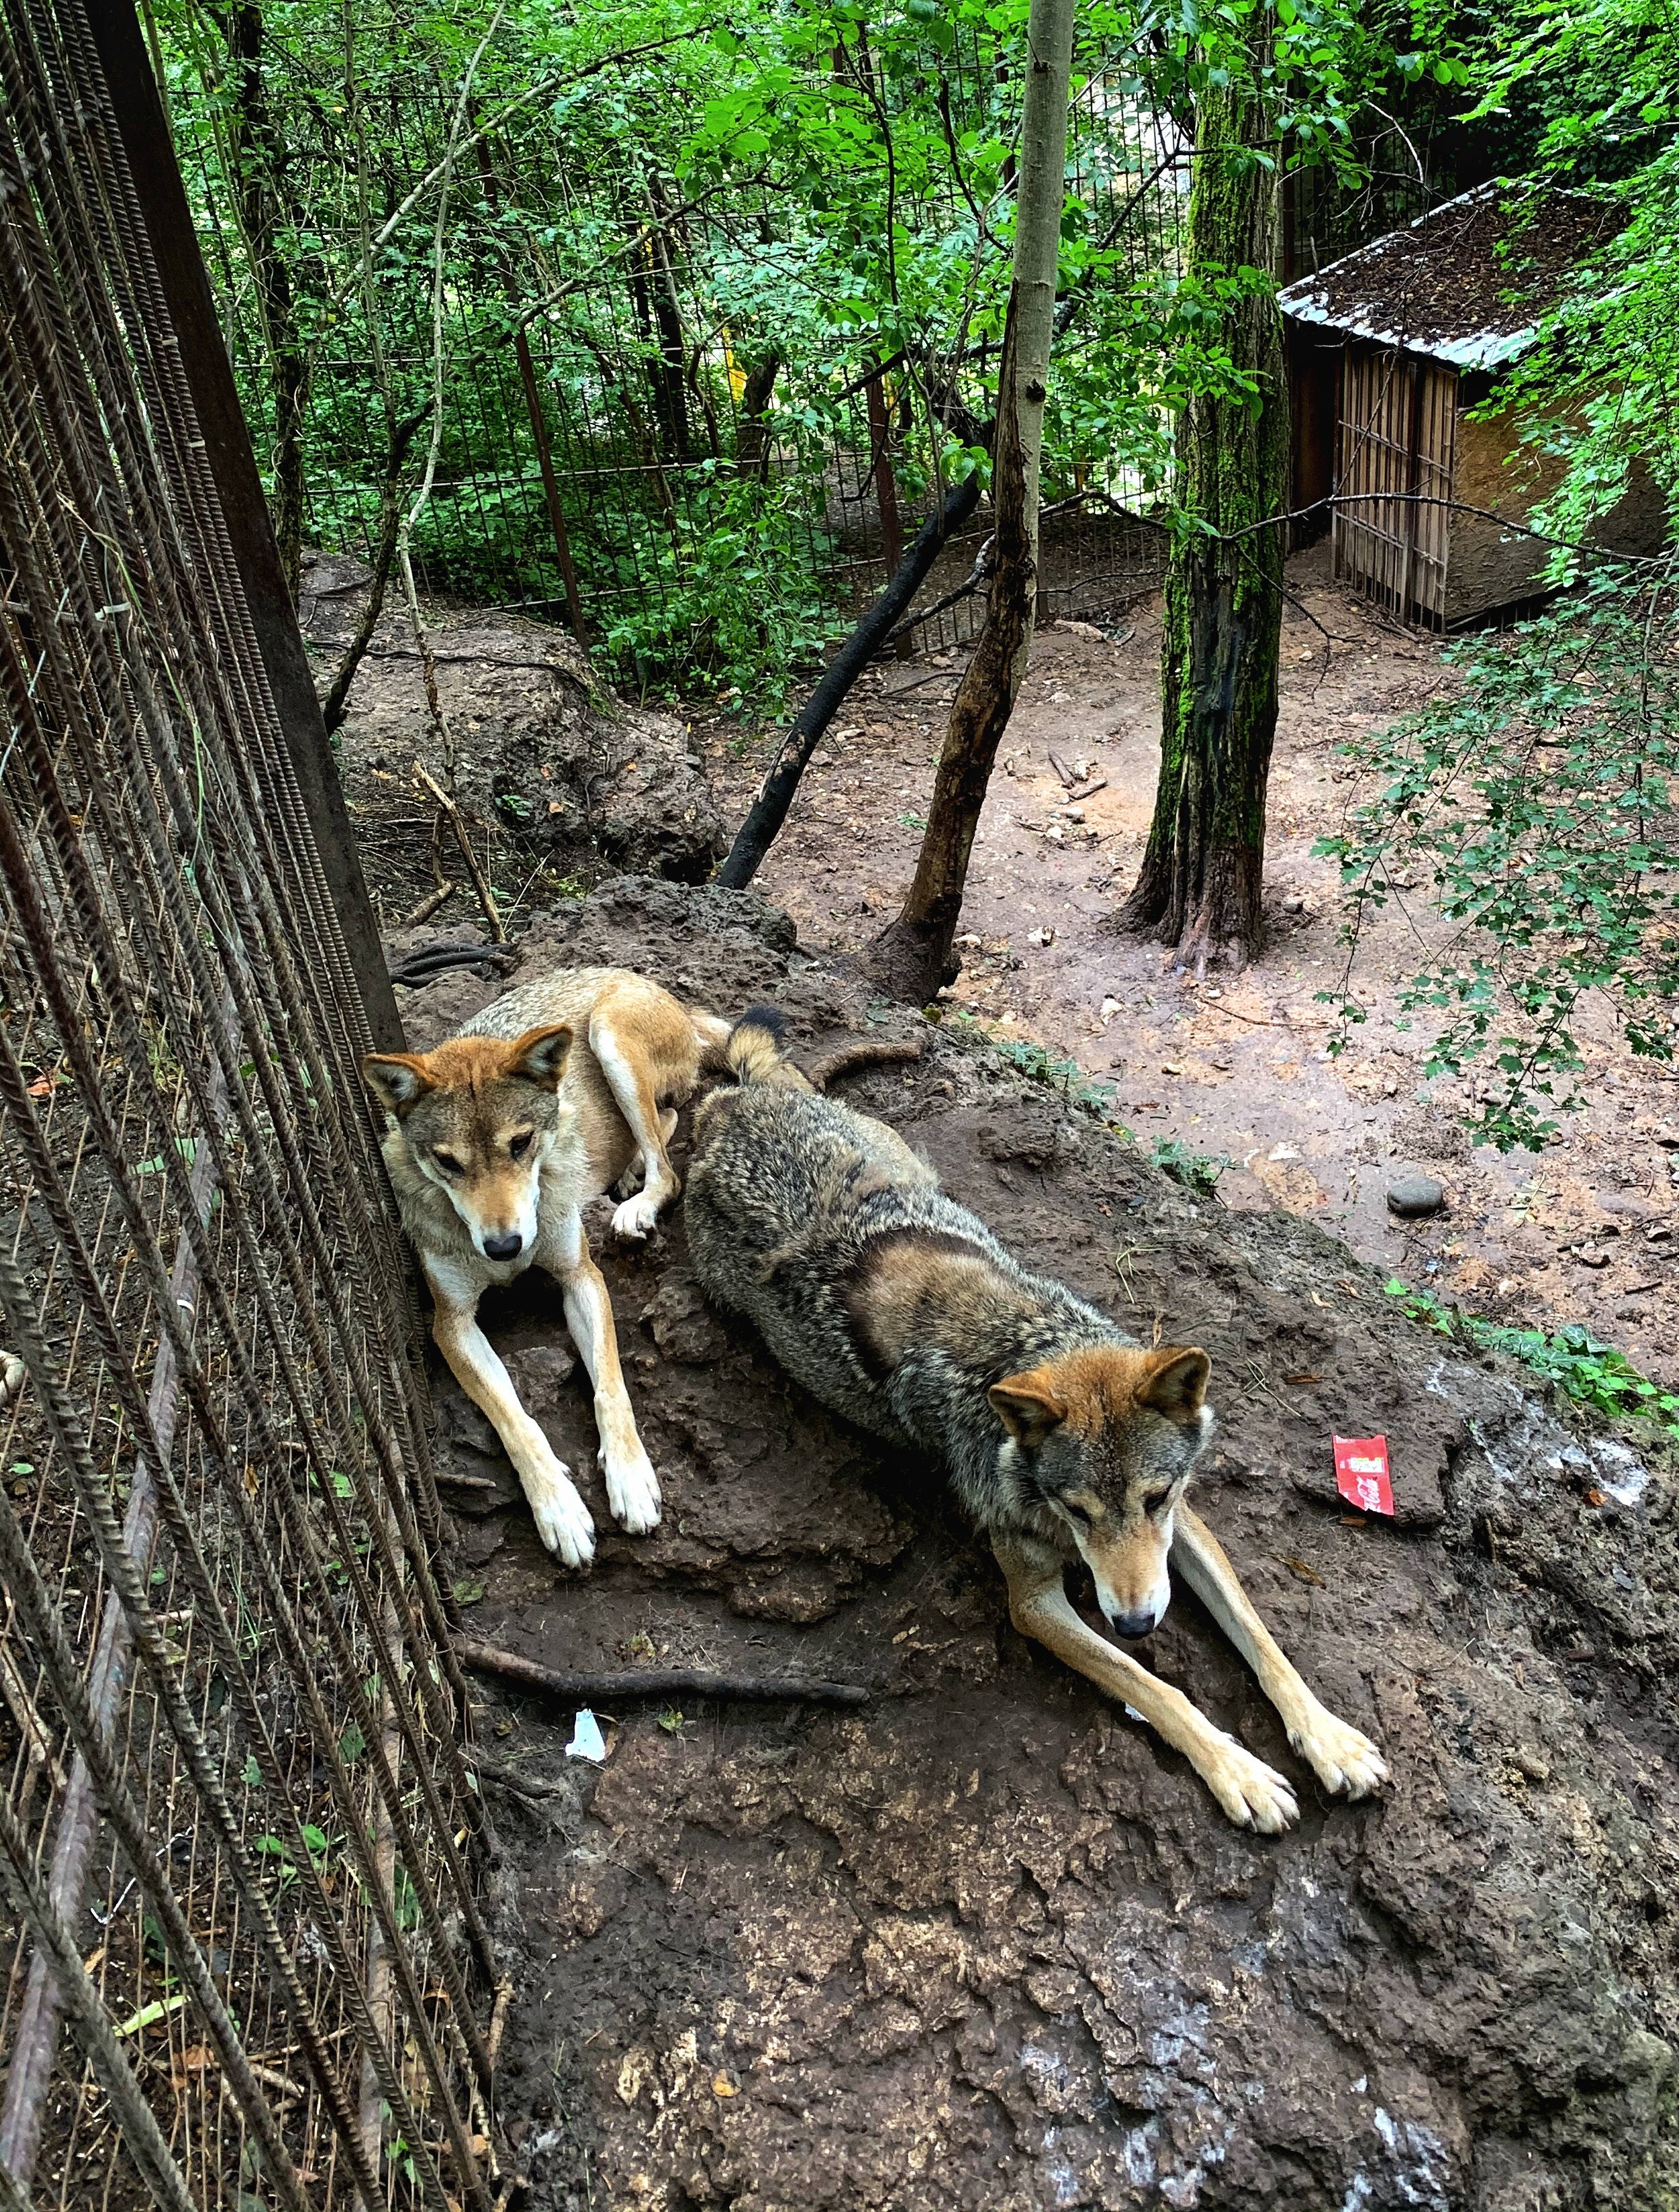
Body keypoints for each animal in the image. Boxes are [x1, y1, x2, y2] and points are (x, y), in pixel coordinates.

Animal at [361, 960, 730, 1566]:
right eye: (448, 1162)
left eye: (521, 1143)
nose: (504, 1248)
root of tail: (643, 980)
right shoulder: (451, 1323)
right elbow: (516, 1421)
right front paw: (559, 1509)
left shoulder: (581, 1277)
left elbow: (611, 1387)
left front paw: (630, 1478)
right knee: (669, 1118)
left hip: (609, 1037)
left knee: (669, 1157)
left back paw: (635, 1200)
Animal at [685, 1013, 1389, 1840]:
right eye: (1074, 1510)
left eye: (1153, 1500)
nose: (1136, 1622)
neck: (1023, 1343)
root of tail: (732, 1112)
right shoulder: (1033, 1603)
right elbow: (1155, 1688)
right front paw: (1237, 1771)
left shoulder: (1185, 1524)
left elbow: (1261, 1640)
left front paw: (1328, 1738)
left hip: (907, 1164)